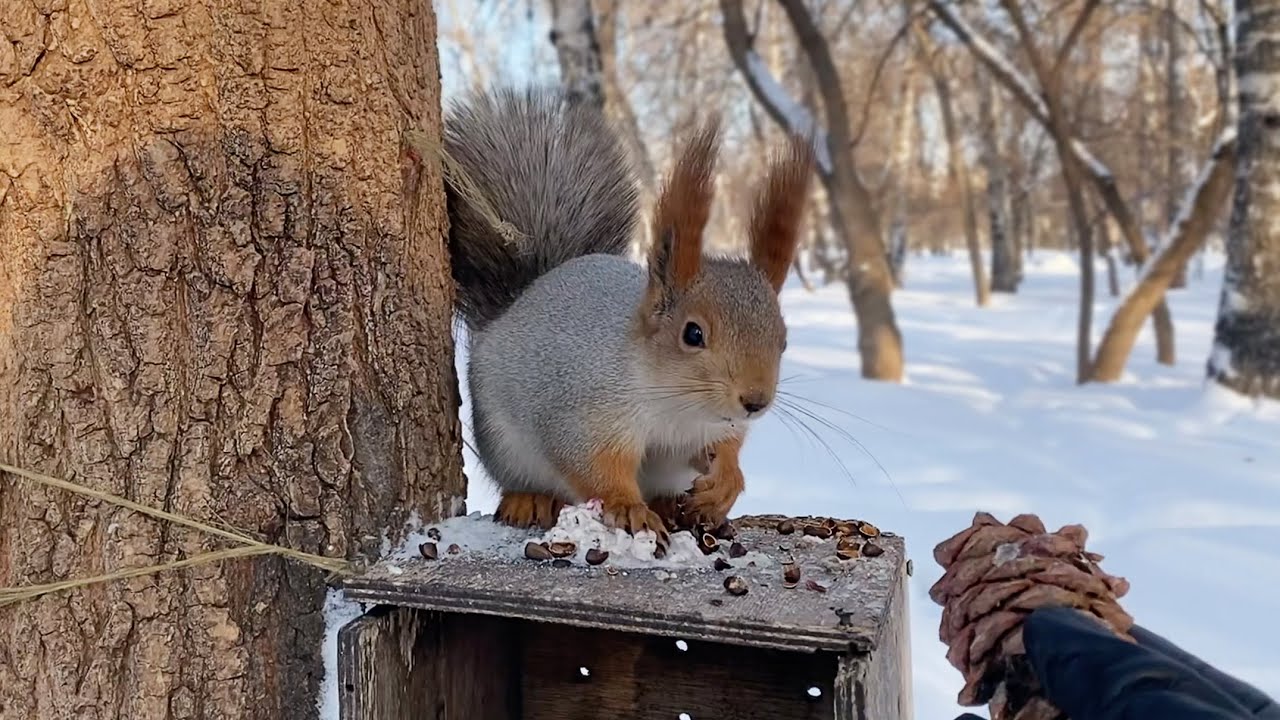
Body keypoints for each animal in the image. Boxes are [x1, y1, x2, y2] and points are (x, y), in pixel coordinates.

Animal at [443, 87, 814, 546]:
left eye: (783, 340)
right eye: (693, 333)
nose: (755, 401)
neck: (679, 408)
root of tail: (519, 299)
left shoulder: (714, 427)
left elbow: (725, 450)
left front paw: (726, 482)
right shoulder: (585, 413)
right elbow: (593, 466)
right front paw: (627, 507)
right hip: (503, 444)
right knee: (525, 480)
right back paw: (528, 499)